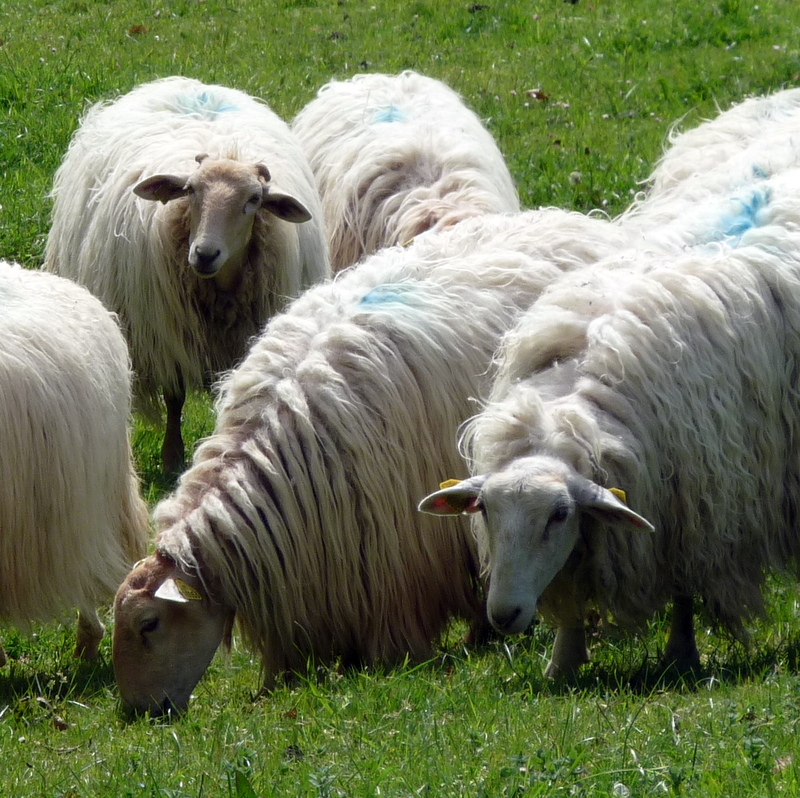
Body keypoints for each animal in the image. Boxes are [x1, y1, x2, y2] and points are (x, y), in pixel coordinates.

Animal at [43, 76, 330, 475]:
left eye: (254, 200)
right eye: (190, 190)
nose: (204, 253)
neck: (220, 289)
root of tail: (187, 83)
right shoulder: (167, 334)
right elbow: (175, 396)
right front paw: (172, 456)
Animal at [419, 187, 800, 679]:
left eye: (559, 514)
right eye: (483, 510)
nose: (503, 615)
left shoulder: (690, 511)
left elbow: (682, 589)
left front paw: (681, 655)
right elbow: (571, 588)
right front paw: (562, 662)